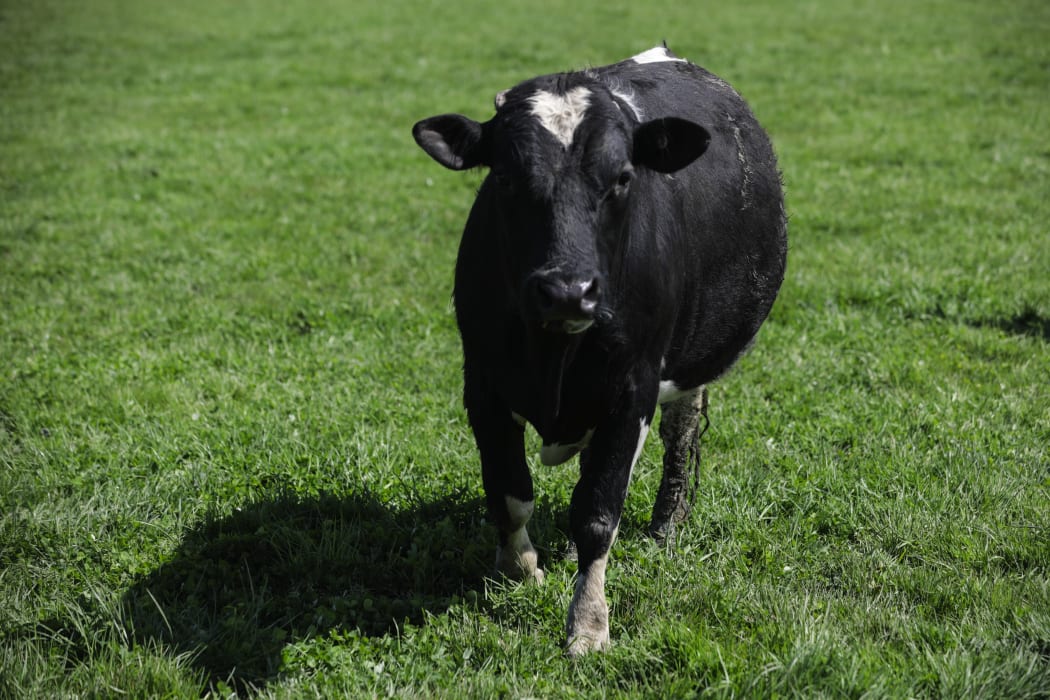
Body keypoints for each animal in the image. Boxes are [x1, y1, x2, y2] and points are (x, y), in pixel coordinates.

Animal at [412, 45, 787, 656]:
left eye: (623, 178)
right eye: (505, 178)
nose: (568, 289)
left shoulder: (631, 391)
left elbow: (597, 511)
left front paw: (588, 622)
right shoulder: (483, 384)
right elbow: (509, 491)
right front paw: (520, 569)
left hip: (689, 366)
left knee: (681, 436)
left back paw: (665, 526)